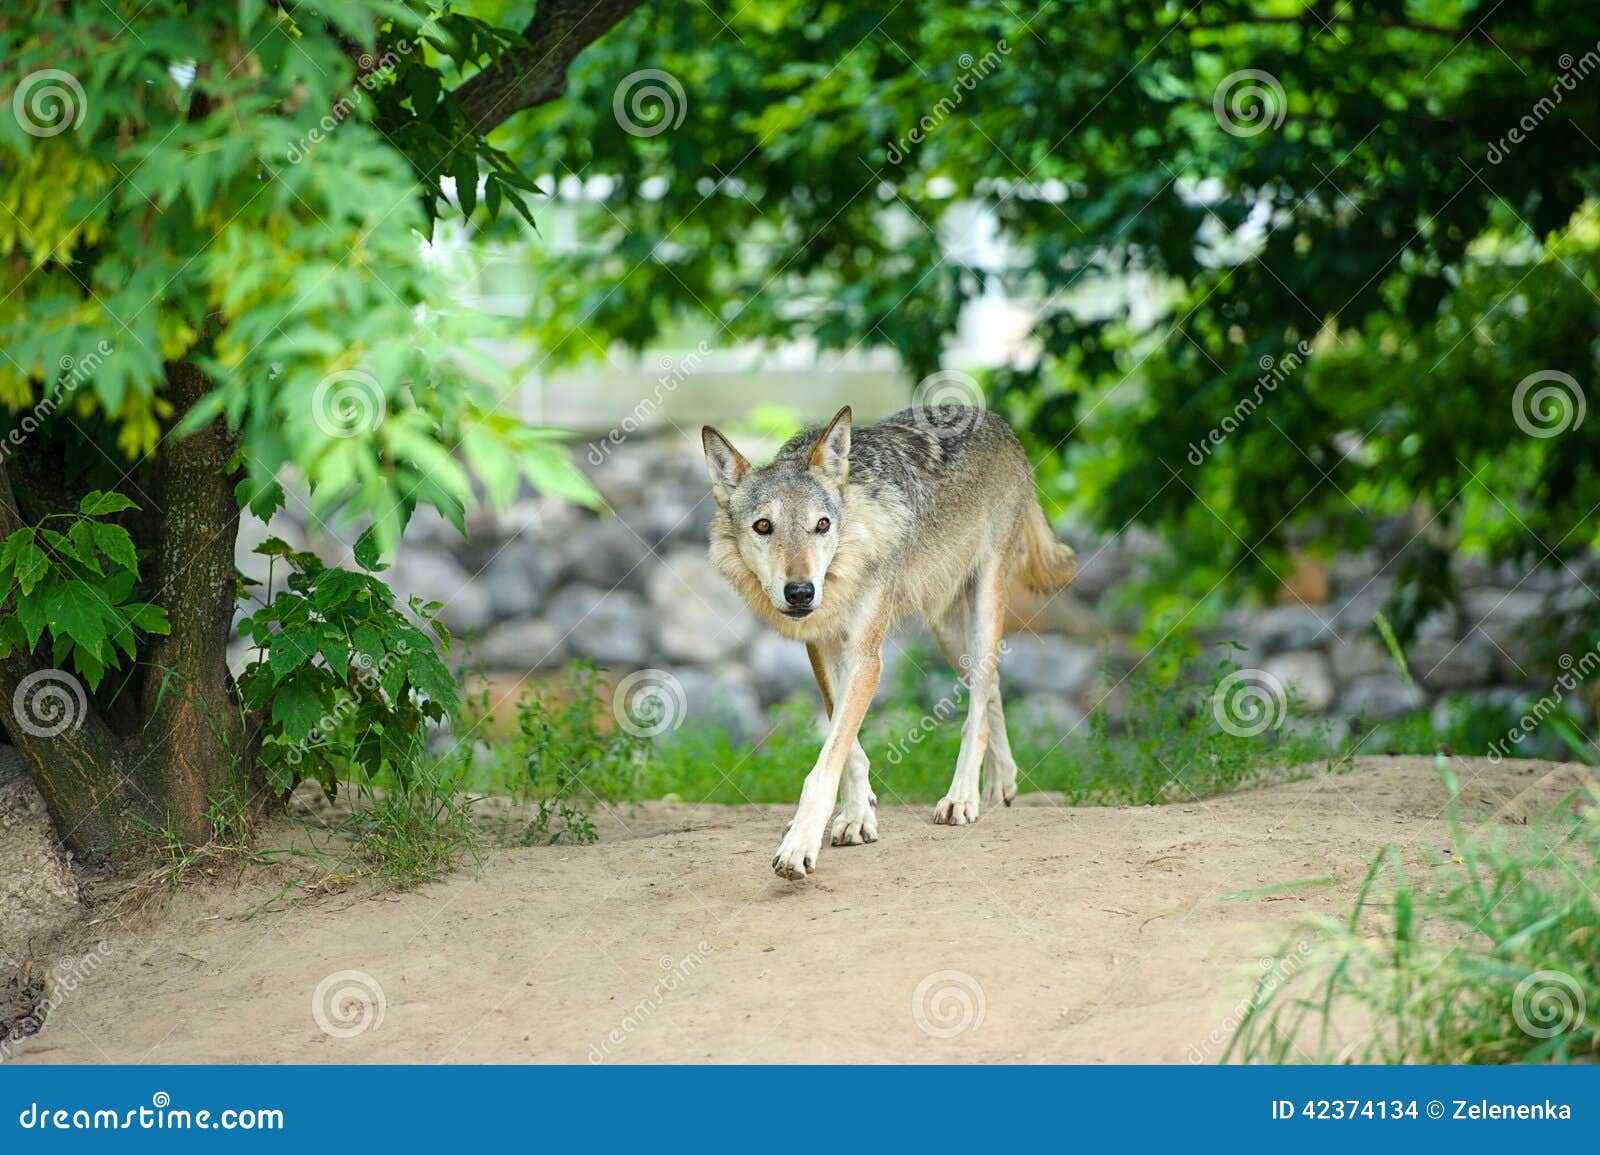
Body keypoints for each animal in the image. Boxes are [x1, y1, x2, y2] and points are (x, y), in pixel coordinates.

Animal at [701, 404, 1077, 880]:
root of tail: (992, 416)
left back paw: (962, 797)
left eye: (821, 525)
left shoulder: (866, 657)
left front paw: (801, 844)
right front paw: (856, 813)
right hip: (950, 636)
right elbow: (847, 748)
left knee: (978, 708)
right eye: (763, 526)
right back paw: (1000, 781)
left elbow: (826, 762)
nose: (801, 592)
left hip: (984, 605)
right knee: (991, 685)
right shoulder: (822, 647)